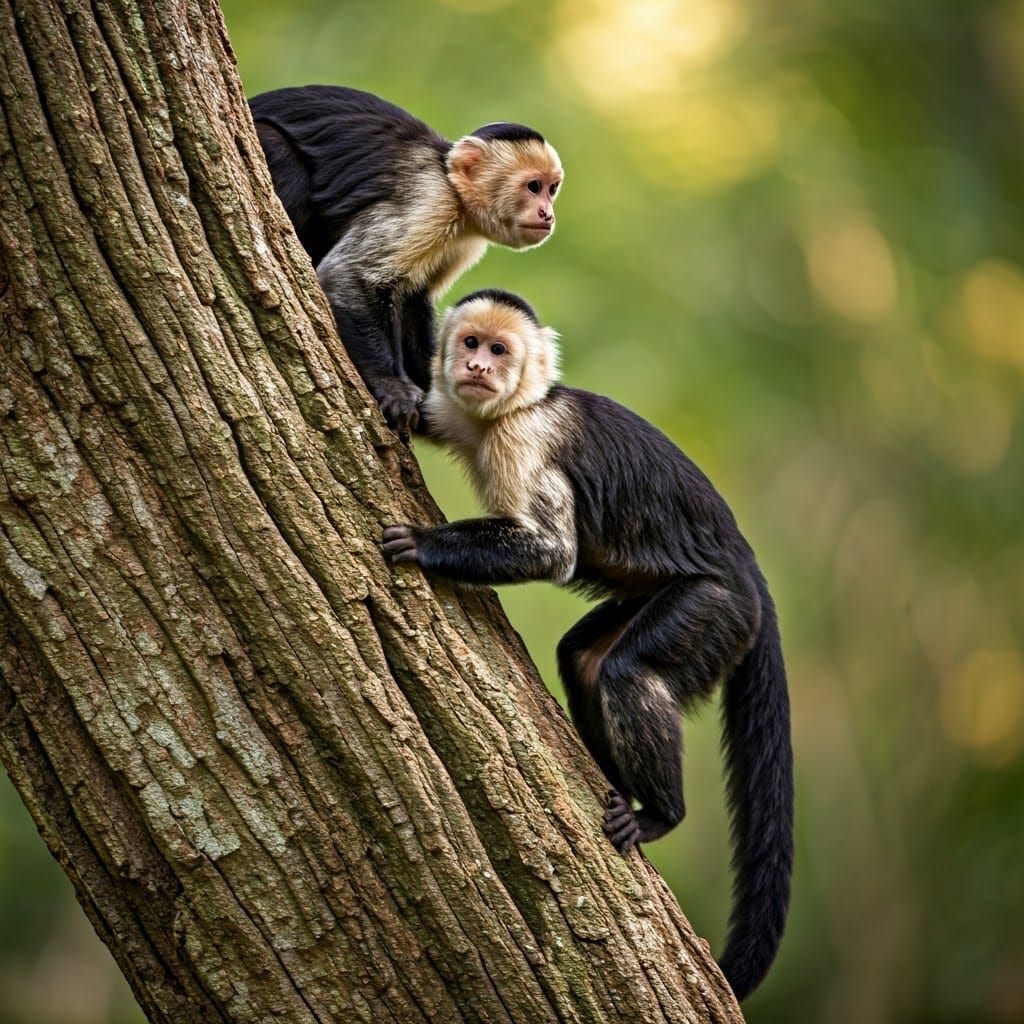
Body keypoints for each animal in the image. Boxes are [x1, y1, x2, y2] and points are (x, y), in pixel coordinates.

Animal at [249, 86, 563, 431]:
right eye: (533, 187)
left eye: (552, 189)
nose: (548, 214)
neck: (455, 193)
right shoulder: (430, 200)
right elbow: (350, 275)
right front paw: (392, 385)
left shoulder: (462, 240)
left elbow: (414, 298)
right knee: (279, 149)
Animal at [380, 289, 794, 1002]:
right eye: (470, 344)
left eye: (500, 351)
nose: (478, 369)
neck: (511, 410)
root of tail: (751, 572)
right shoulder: (458, 408)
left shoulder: (527, 441)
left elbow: (552, 552)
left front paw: (427, 545)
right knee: (585, 659)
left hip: (720, 607)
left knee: (630, 673)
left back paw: (660, 814)